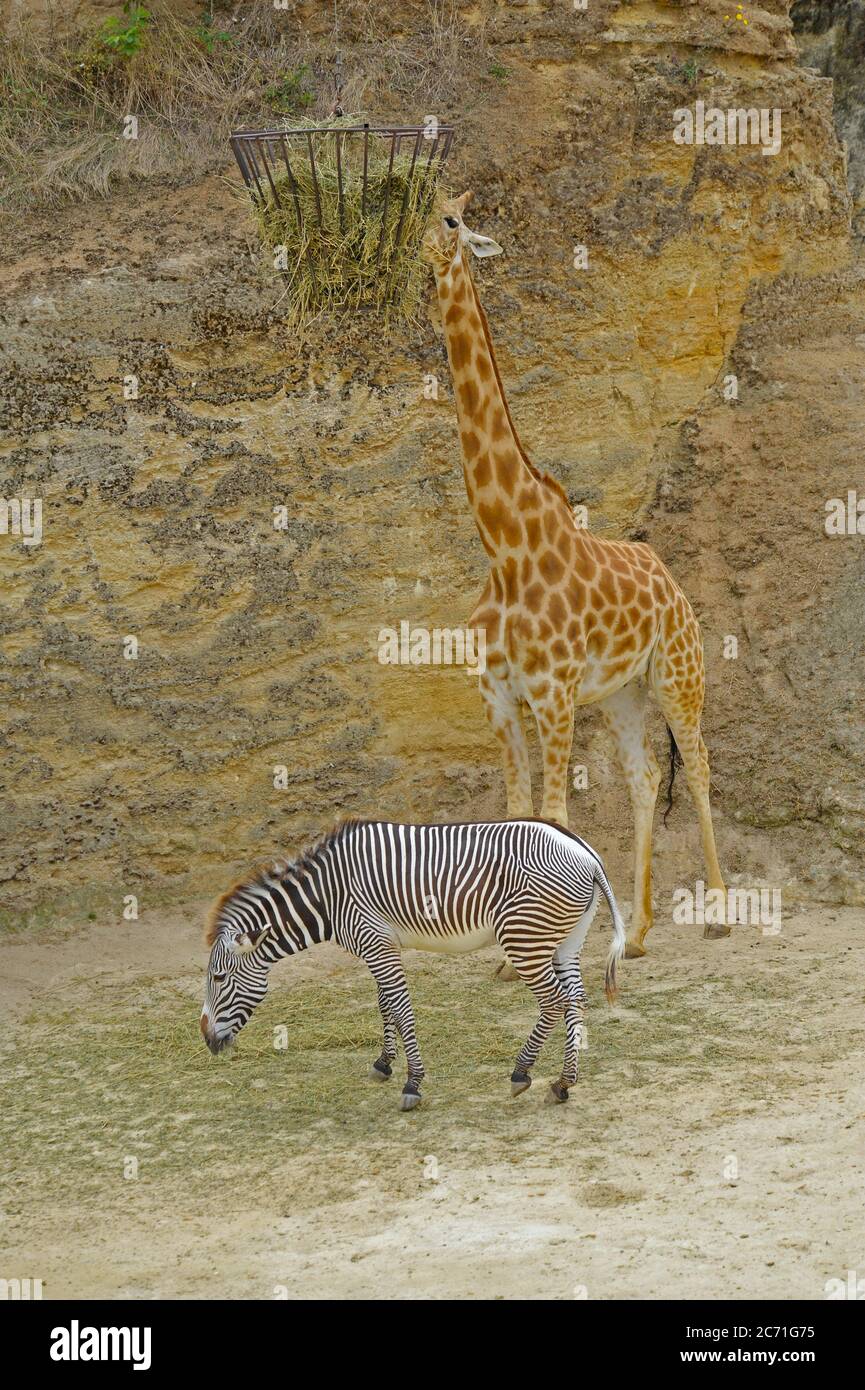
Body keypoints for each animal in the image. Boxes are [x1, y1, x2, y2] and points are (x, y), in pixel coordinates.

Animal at [201, 817, 627, 1110]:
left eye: (219, 977)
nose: (207, 1042)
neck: (329, 896)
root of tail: (587, 854)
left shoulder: (375, 942)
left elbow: (402, 1009)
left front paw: (413, 1084)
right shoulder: (381, 945)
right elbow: (384, 1003)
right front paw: (383, 1064)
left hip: (524, 937)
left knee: (554, 1001)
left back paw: (522, 1073)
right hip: (565, 939)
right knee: (576, 999)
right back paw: (563, 1083)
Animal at [424, 192, 726, 958]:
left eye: (451, 219)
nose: (428, 253)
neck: (506, 545)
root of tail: (671, 579)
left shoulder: (553, 694)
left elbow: (555, 816)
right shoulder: (499, 697)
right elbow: (516, 810)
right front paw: (505, 957)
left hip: (678, 672)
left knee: (699, 764)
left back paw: (717, 909)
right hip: (621, 692)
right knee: (645, 776)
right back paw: (638, 933)